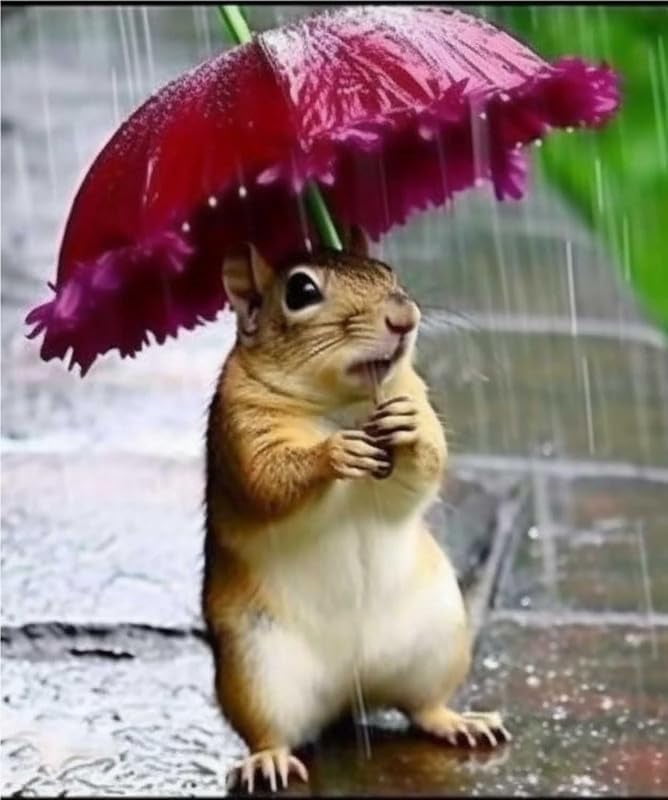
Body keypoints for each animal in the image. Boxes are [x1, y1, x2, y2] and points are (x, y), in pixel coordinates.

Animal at [202, 229, 509, 793]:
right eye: (300, 291)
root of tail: (352, 688)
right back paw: (268, 760)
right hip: (258, 668)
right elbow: (268, 480)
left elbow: (423, 470)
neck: (341, 404)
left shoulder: (412, 393)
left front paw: (410, 430)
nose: (403, 317)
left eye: (388, 272)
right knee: (269, 730)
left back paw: (459, 722)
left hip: (437, 644)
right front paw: (334, 453)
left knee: (423, 707)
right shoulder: (240, 427)